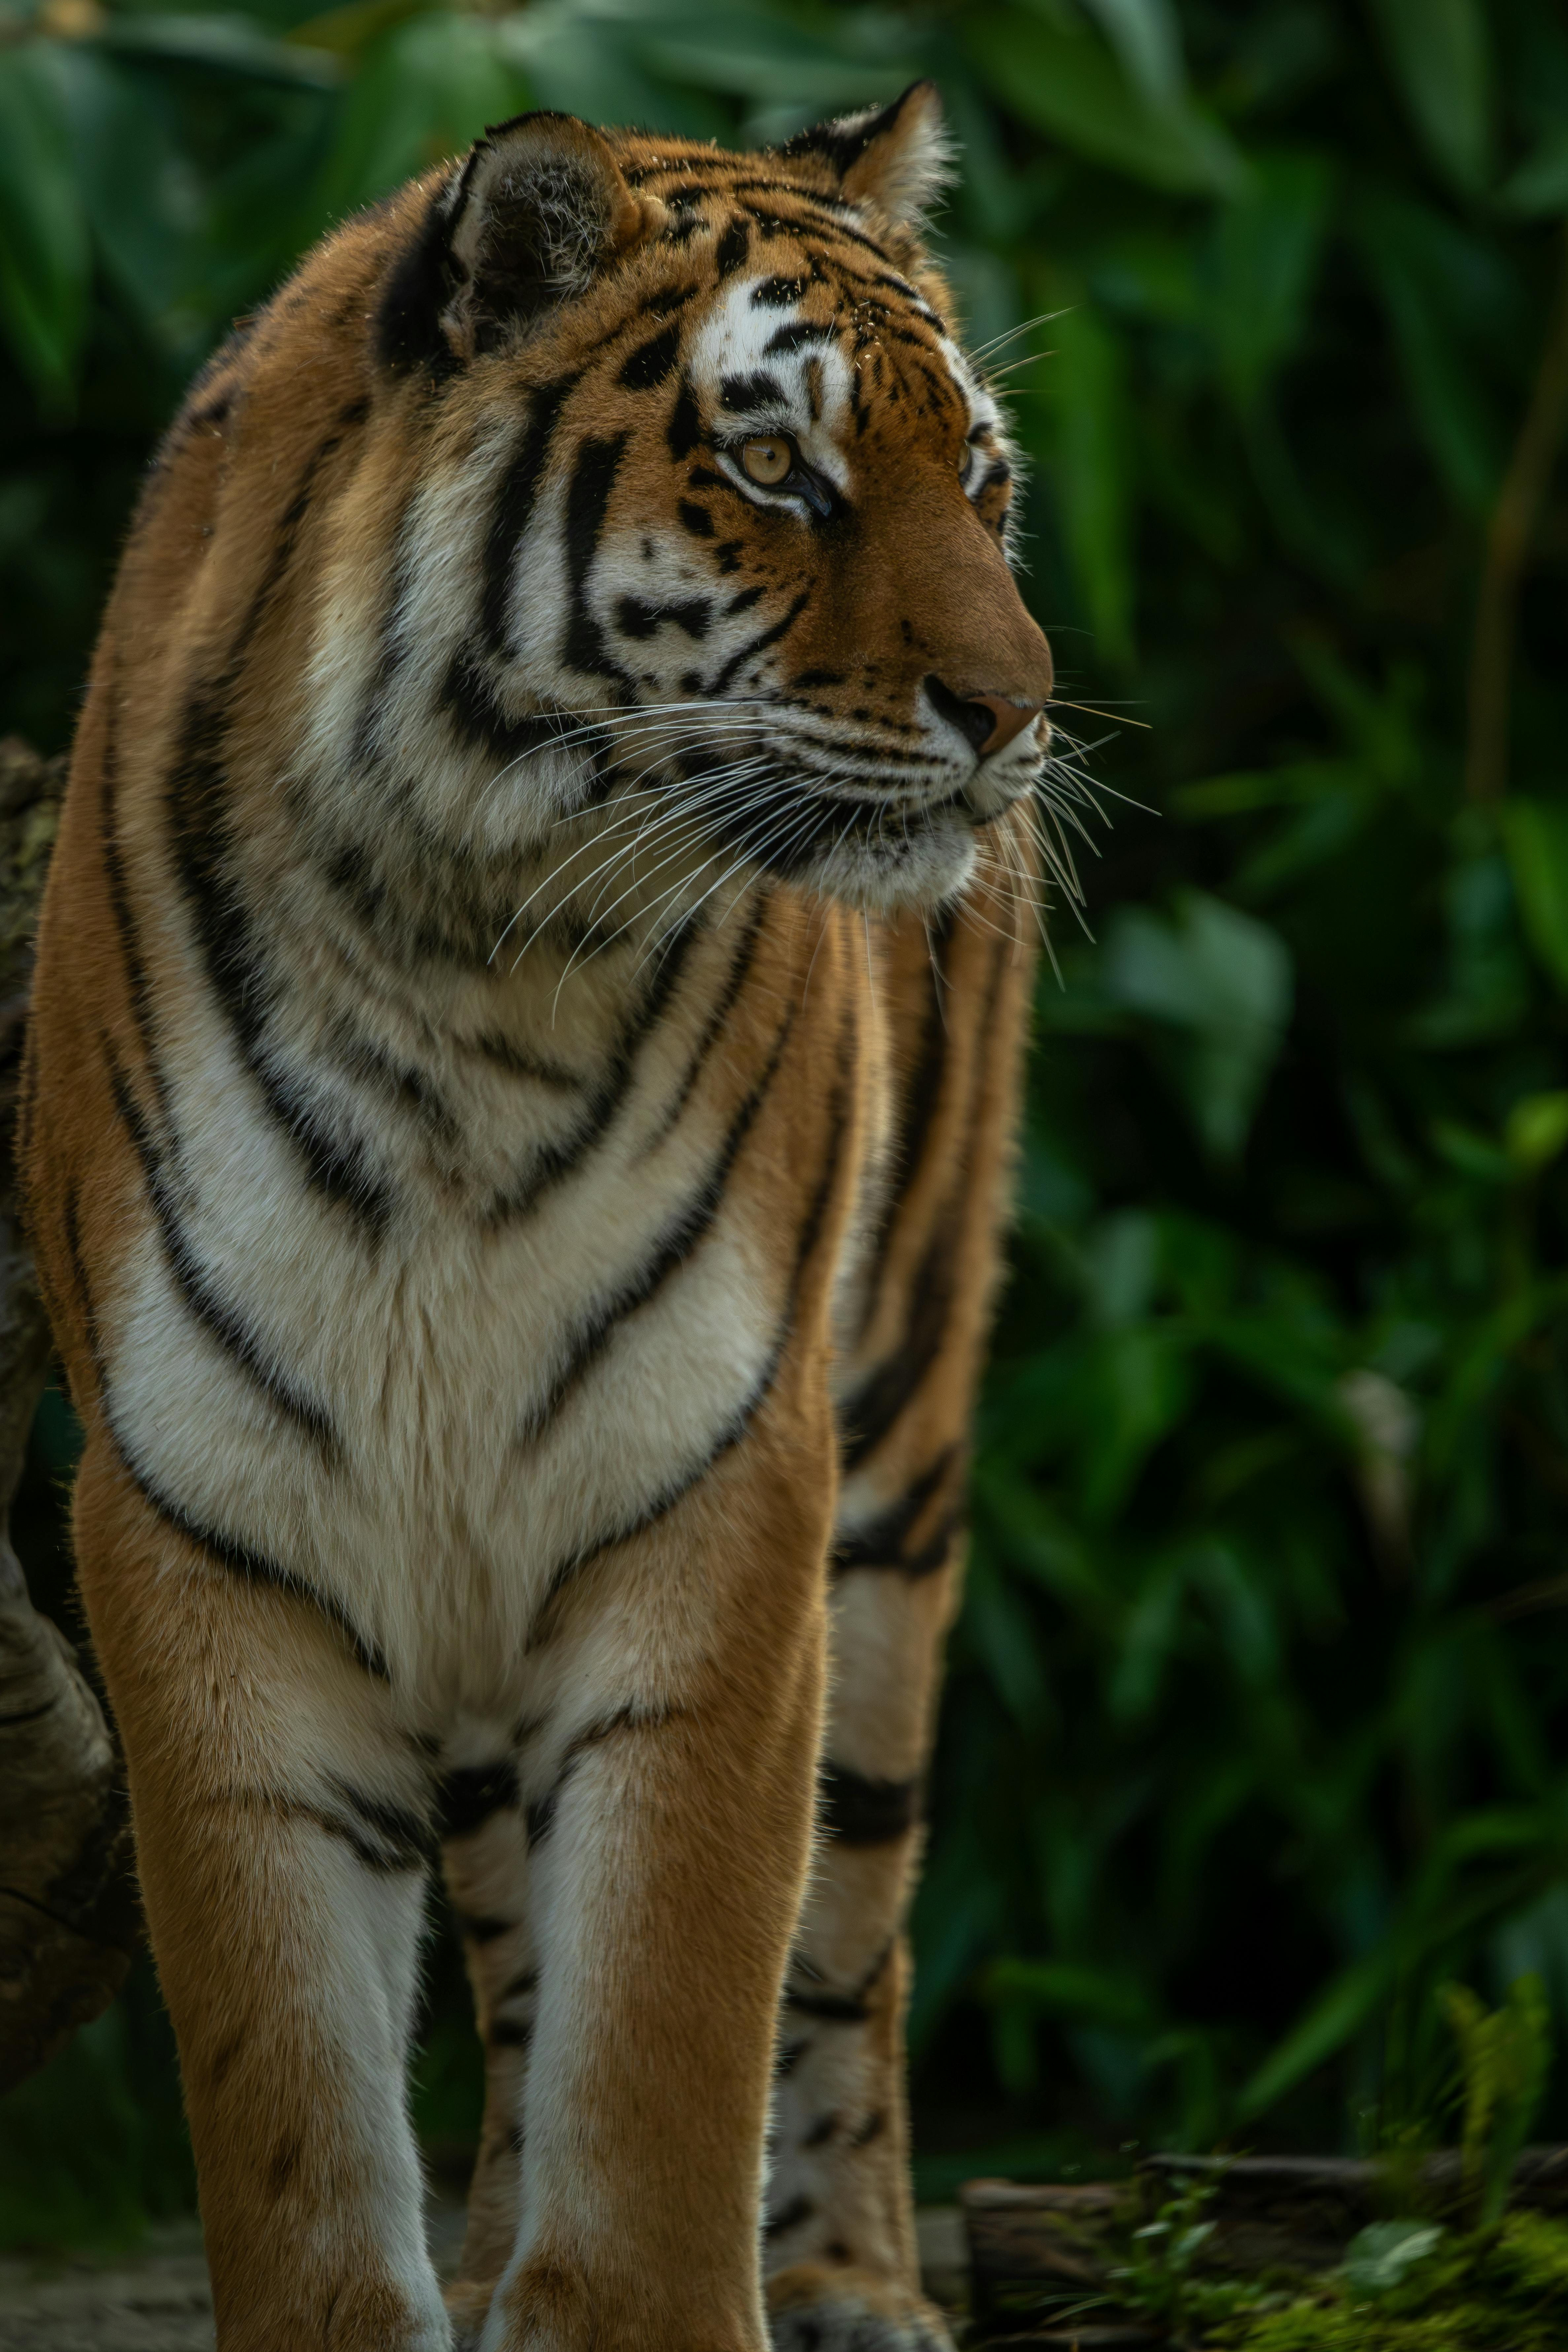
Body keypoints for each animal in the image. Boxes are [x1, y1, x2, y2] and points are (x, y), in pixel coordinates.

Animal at [20, 79, 1053, 2352]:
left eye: (979, 478)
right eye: (773, 468)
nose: (1019, 717)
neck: (465, 958)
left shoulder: (717, 1482)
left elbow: (669, 2030)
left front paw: (658, 2284)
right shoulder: (199, 1507)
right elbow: (292, 2101)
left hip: (896, 1445)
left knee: (855, 1919)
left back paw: (848, 2273)